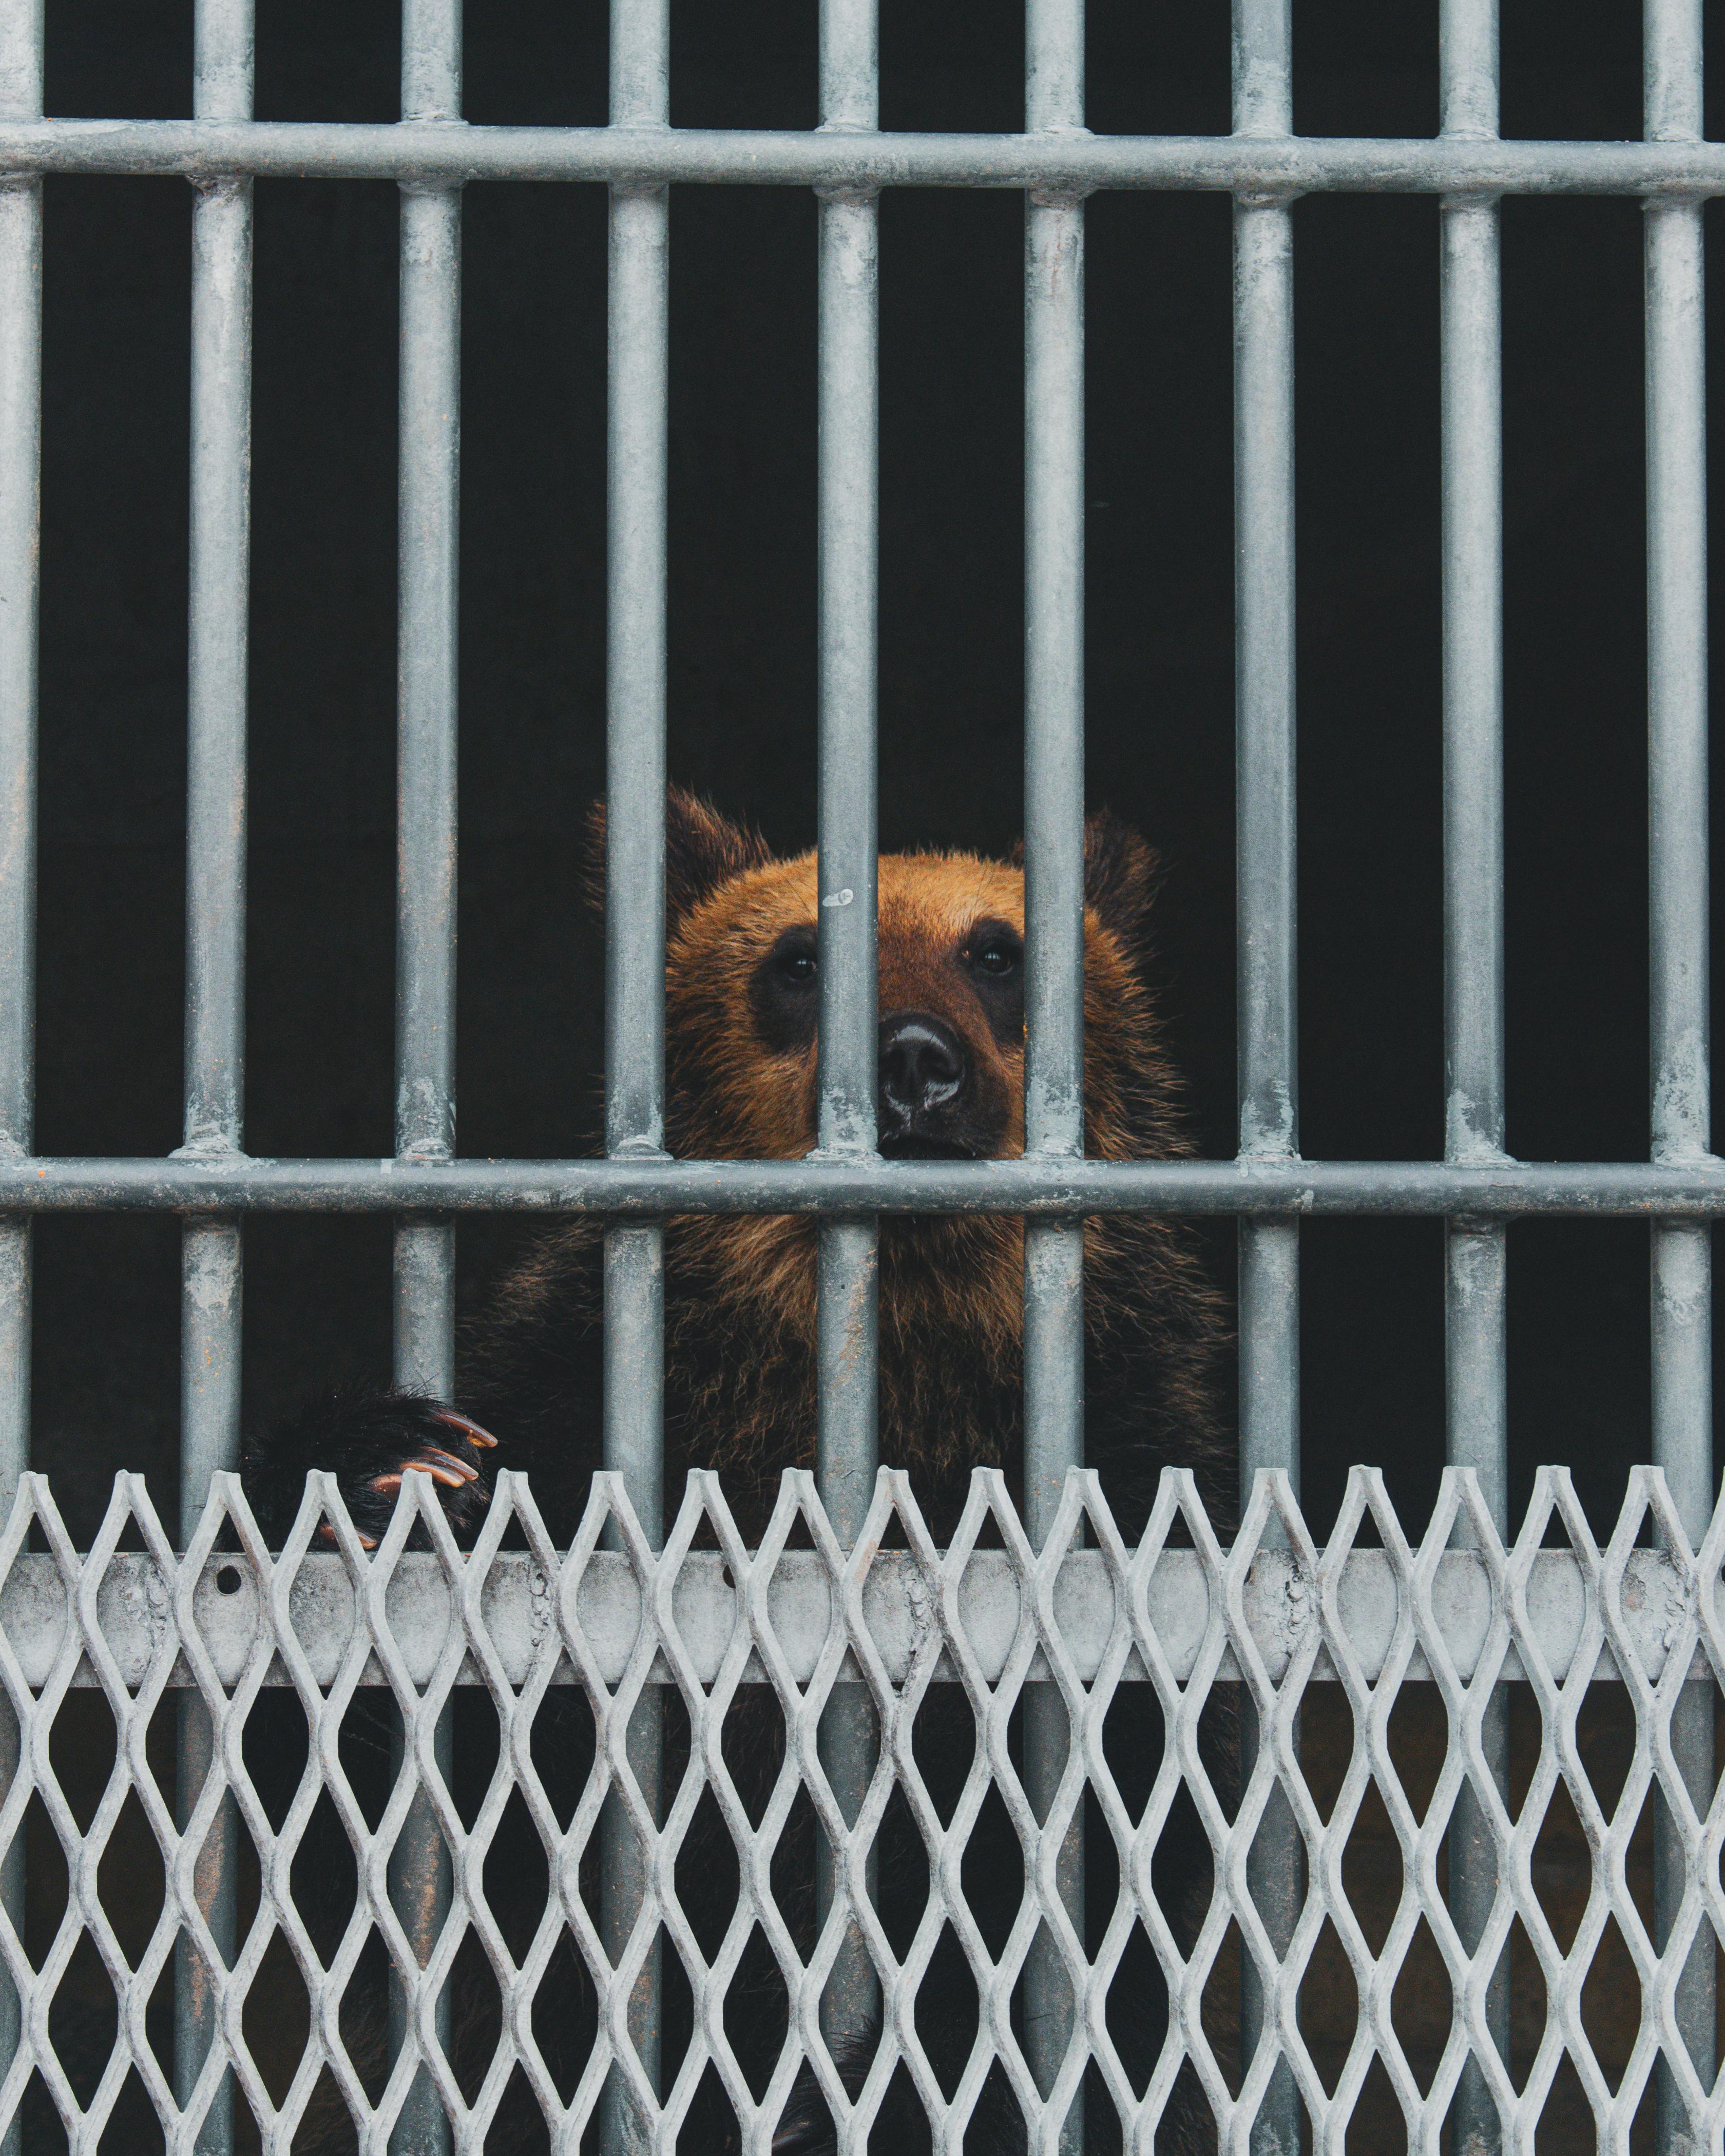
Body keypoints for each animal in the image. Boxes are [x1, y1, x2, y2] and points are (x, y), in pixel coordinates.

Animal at [243, 788, 1233, 2155]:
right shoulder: (575, 1410)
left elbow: (1114, 1833)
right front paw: (380, 1469)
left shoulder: (1138, 1459)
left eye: (996, 951)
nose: (913, 1062)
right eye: (797, 963)